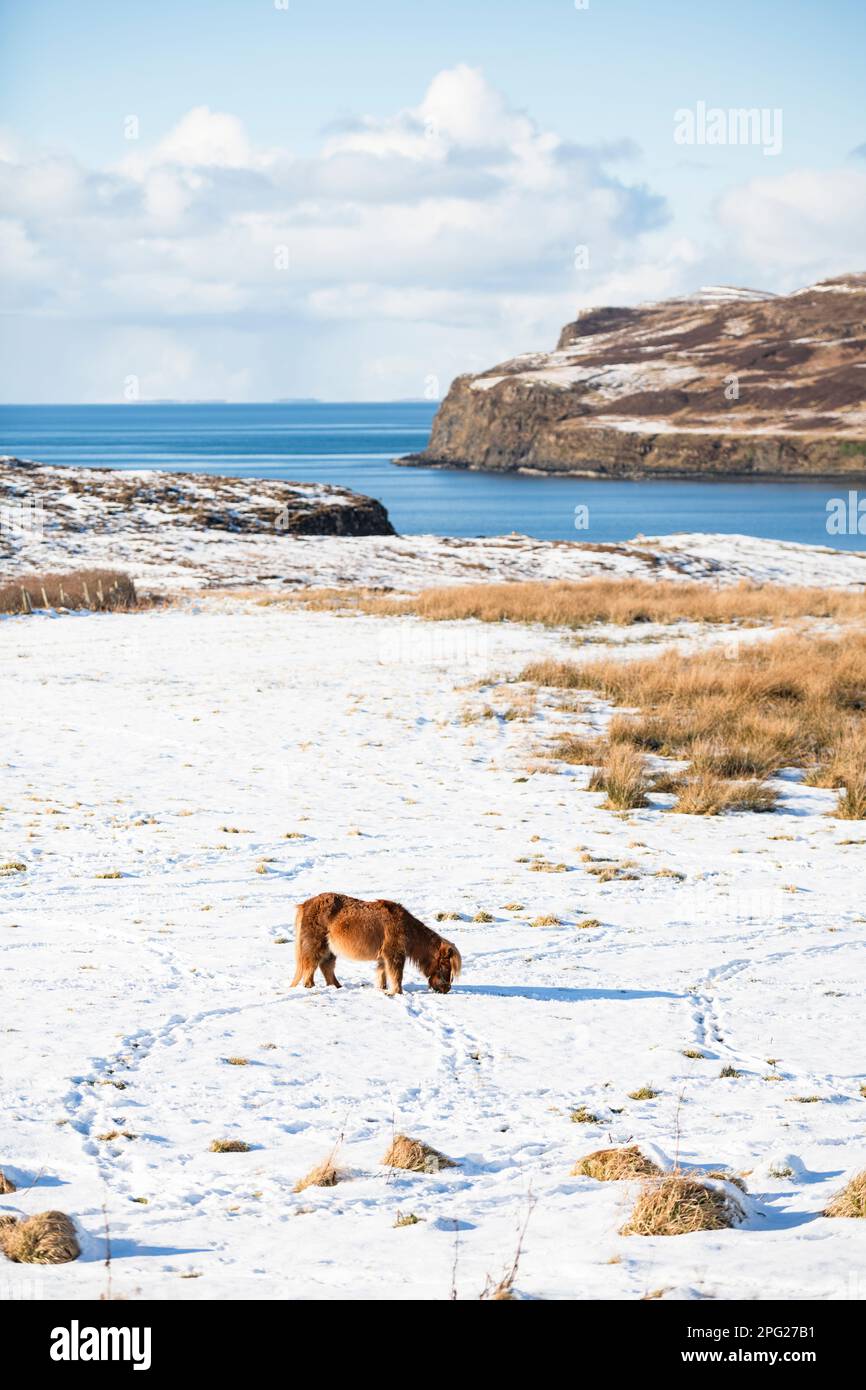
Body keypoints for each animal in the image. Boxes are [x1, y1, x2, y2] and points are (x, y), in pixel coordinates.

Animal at [290, 892, 462, 995]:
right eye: (445, 965)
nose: (446, 989)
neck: (406, 927)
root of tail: (304, 905)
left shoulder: (384, 957)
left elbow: (382, 973)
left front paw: (383, 990)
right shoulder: (394, 954)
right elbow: (396, 975)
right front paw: (396, 992)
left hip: (330, 950)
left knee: (326, 967)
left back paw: (337, 987)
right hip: (316, 946)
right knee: (310, 968)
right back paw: (311, 987)